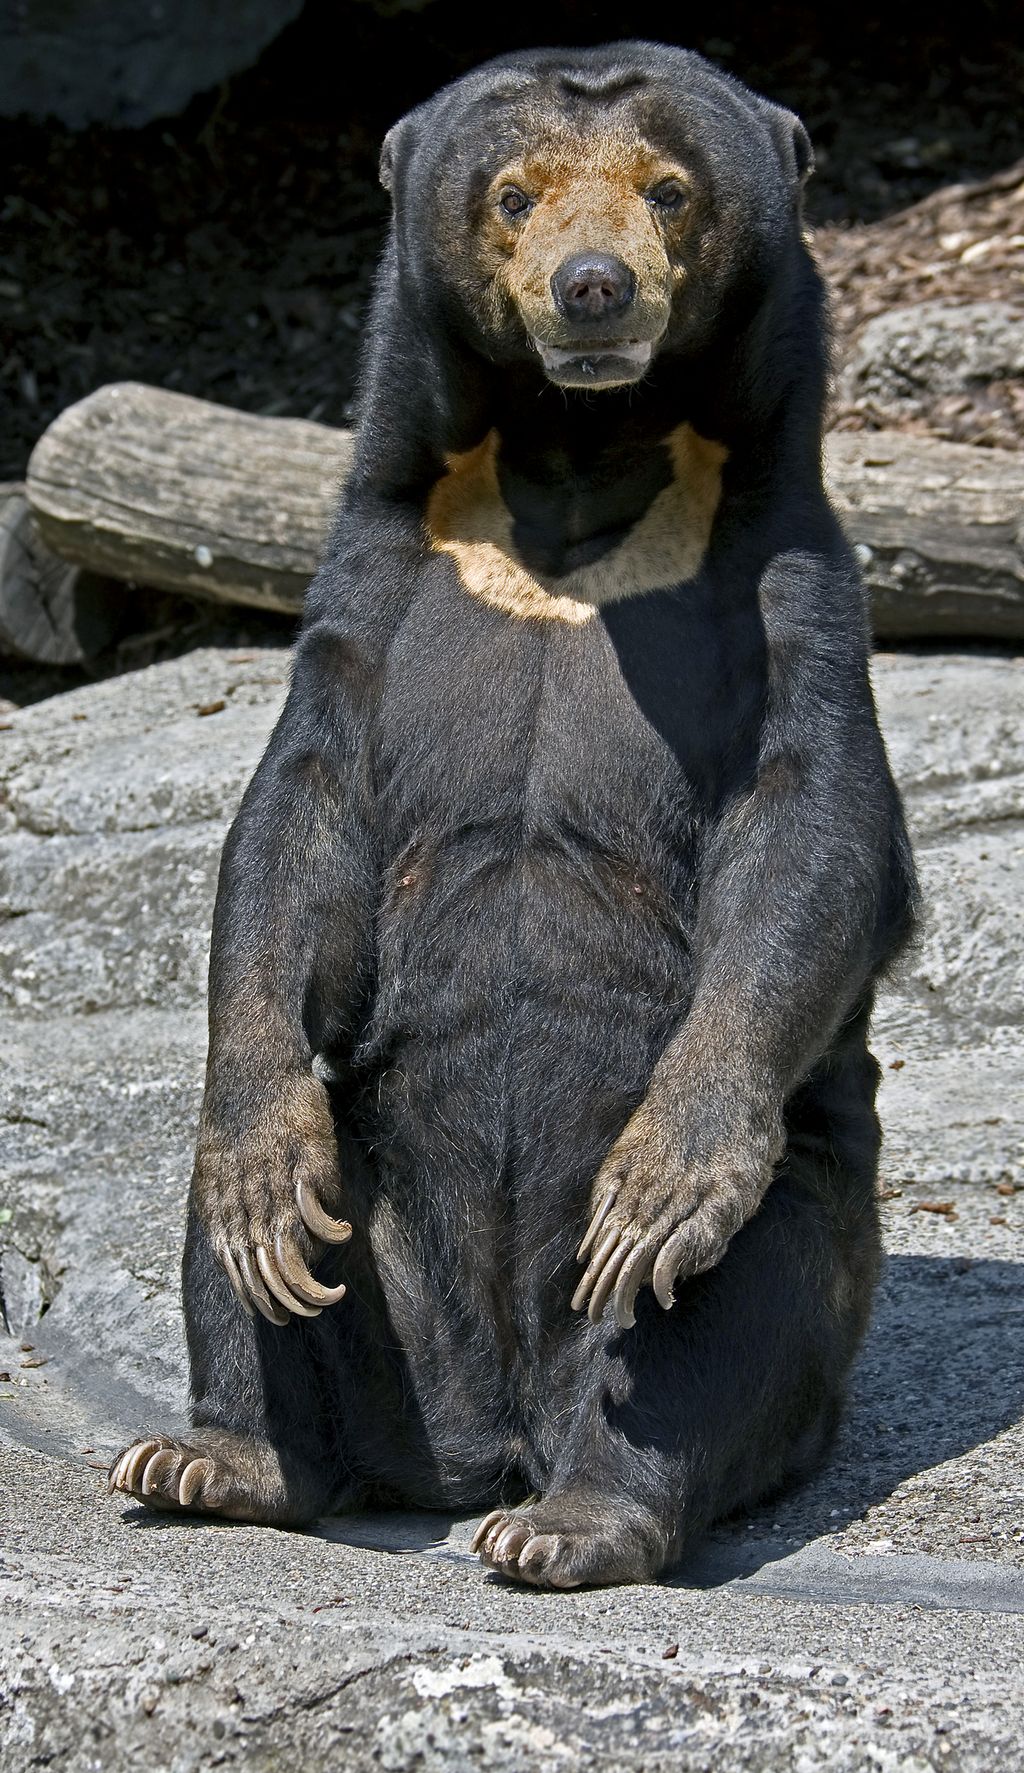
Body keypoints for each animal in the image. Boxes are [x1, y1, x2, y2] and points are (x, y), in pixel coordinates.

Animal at [109, 41, 917, 1590]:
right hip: (373, 1188)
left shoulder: (784, 579)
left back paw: (574, 1516)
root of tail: (479, 1426)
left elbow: (813, 830)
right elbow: (299, 818)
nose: (593, 288)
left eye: (668, 190)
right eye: (514, 194)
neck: (578, 457)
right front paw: (259, 1176)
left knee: (694, 1324)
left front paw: (669, 1176)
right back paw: (217, 1452)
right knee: (248, 1241)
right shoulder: (380, 570)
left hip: (794, 1200)